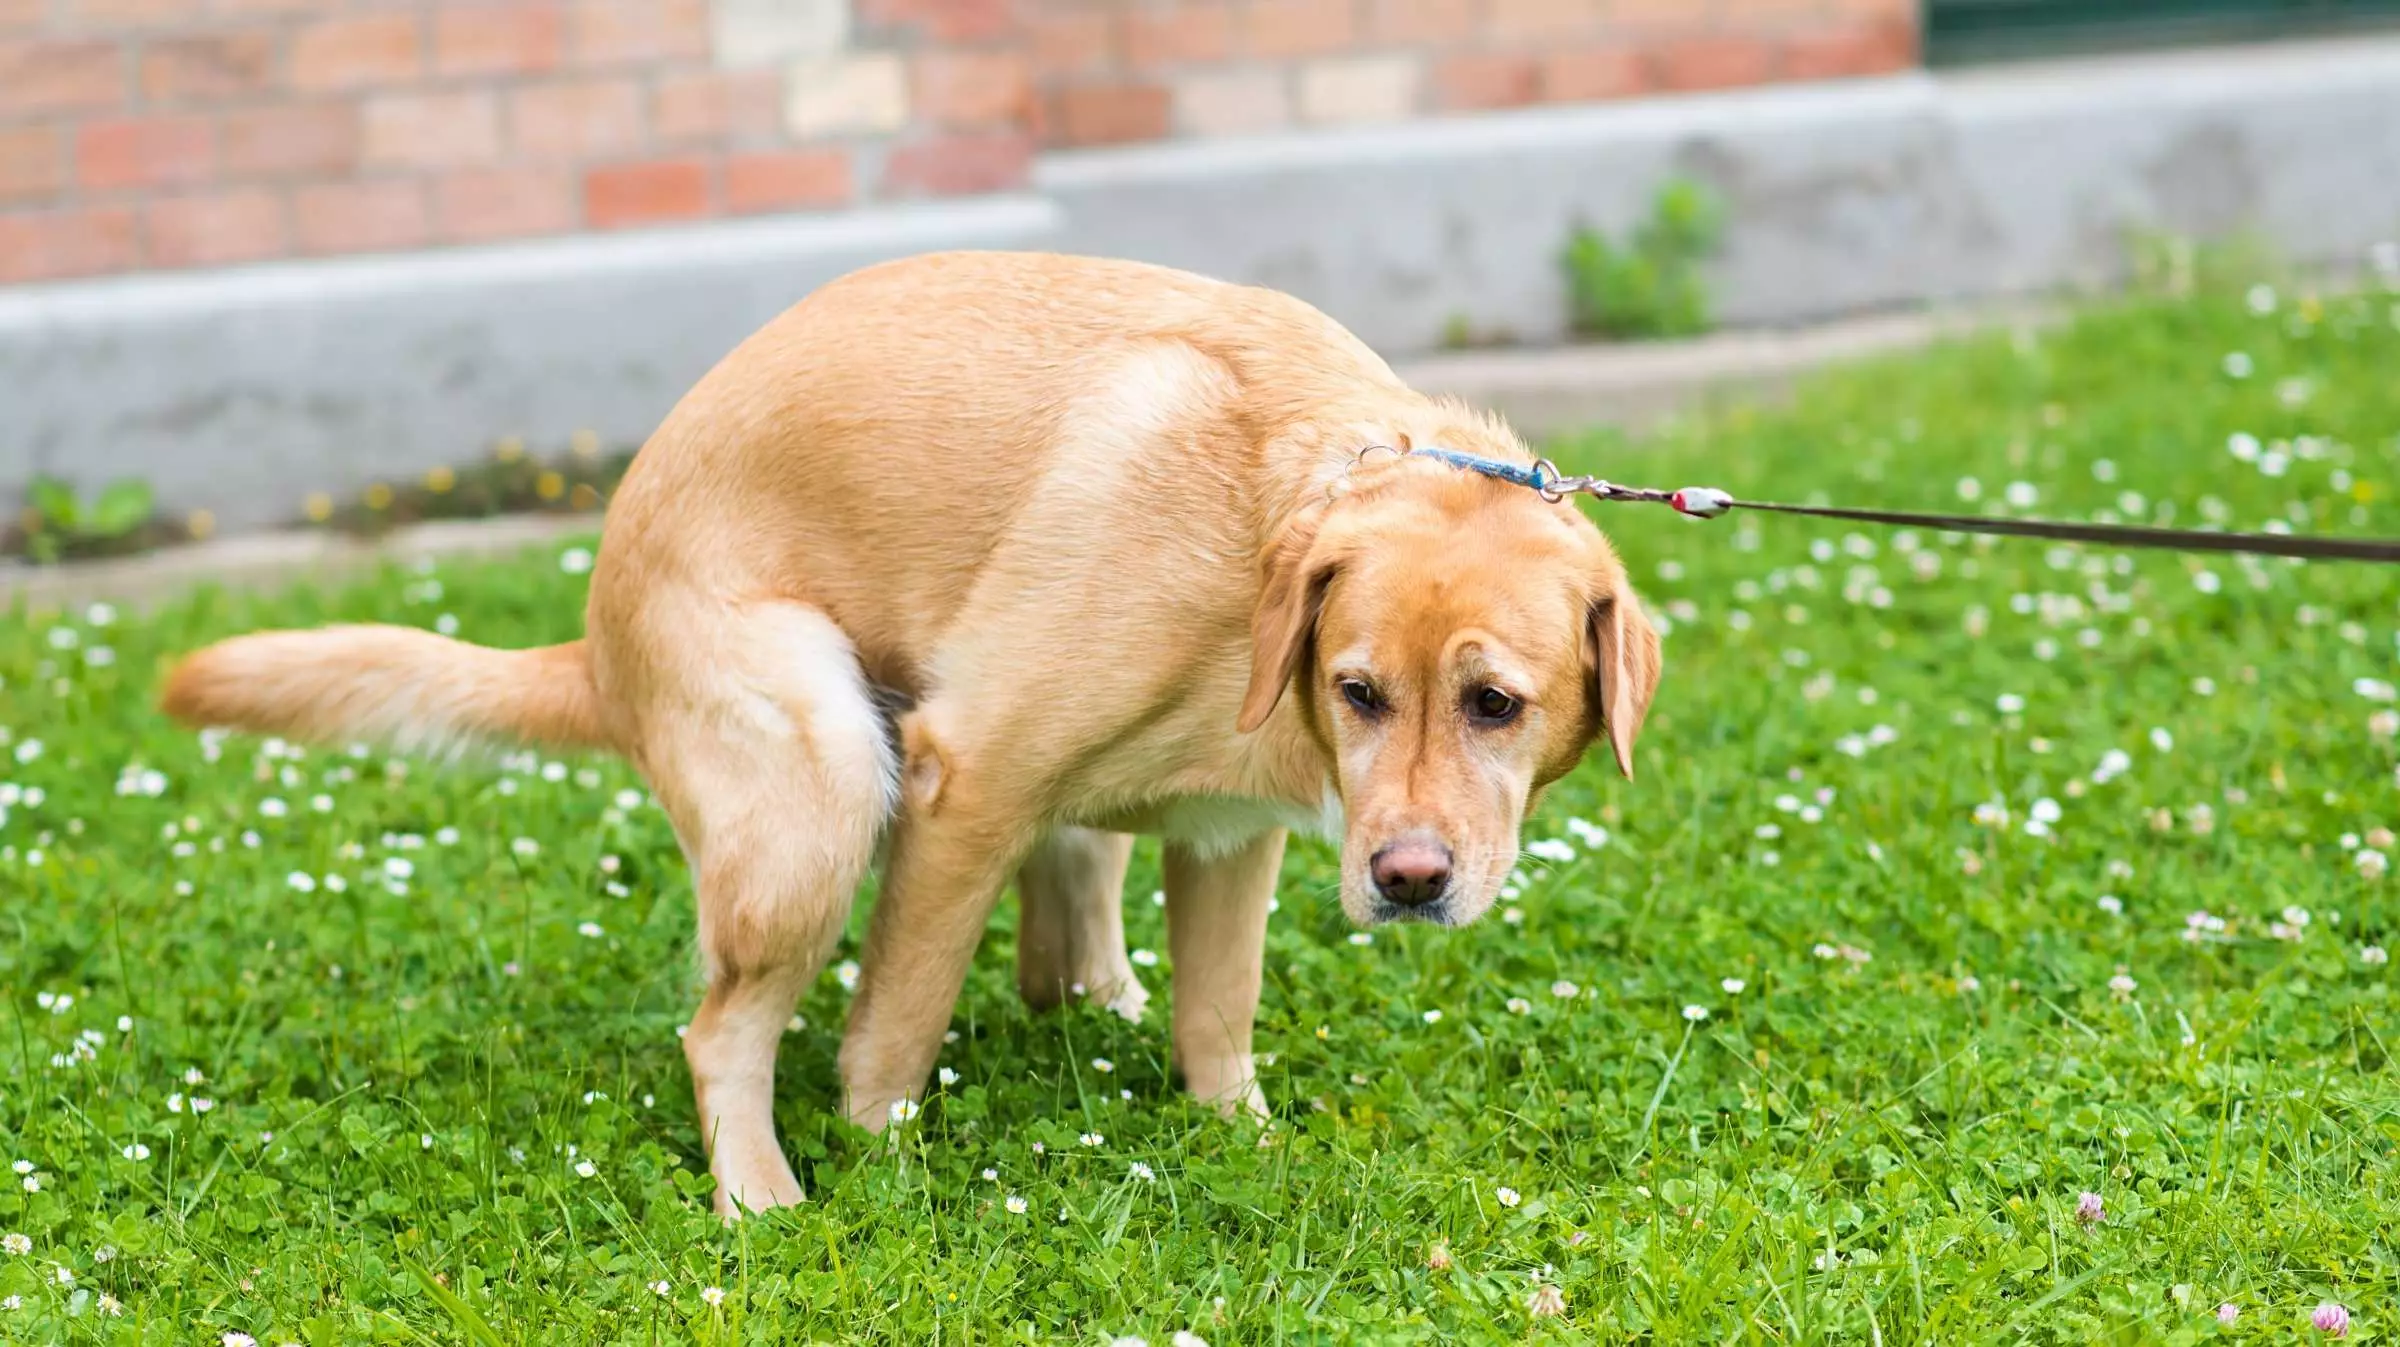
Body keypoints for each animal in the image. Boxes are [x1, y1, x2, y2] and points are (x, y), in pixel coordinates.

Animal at [159, 247, 1660, 1214]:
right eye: (1359, 691)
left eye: (1495, 704)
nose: (1406, 881)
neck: (1264, 531)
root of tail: (597, 638)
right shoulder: (966, 782)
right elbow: (894, 1026)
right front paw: (880, 1159)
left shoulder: (1231, 840)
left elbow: (1219, 1014)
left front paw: (1241, 1134)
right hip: (821, 785)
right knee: (723, 1032)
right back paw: (761, 1193)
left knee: (1068, 938)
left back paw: (1097, 1002)